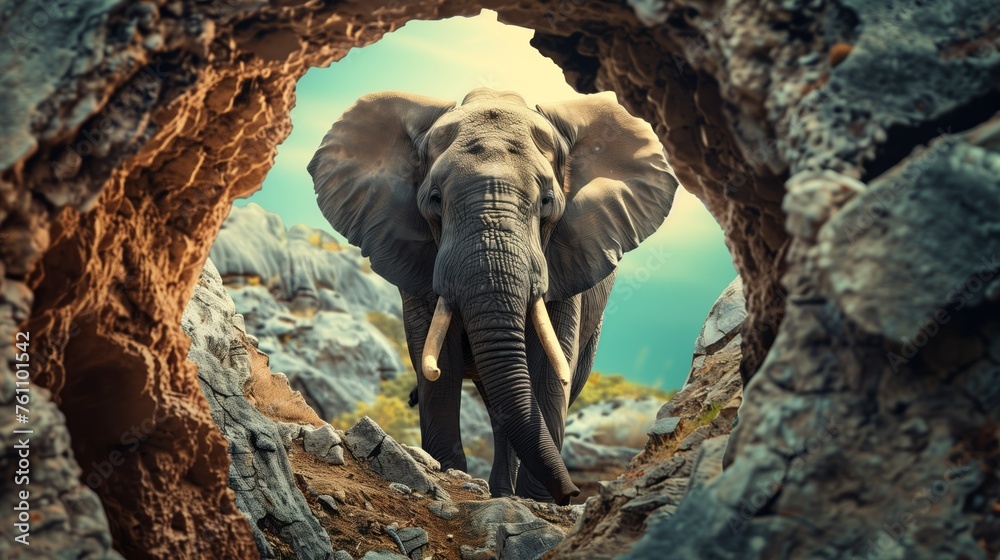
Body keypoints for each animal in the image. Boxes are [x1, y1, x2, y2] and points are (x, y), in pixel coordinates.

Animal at [308, 88, 678, 505]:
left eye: (547, 202)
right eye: (434, 199)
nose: (571, 492)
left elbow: (548, 370)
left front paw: (539, 502)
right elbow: (441, 366)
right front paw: (447, 474)